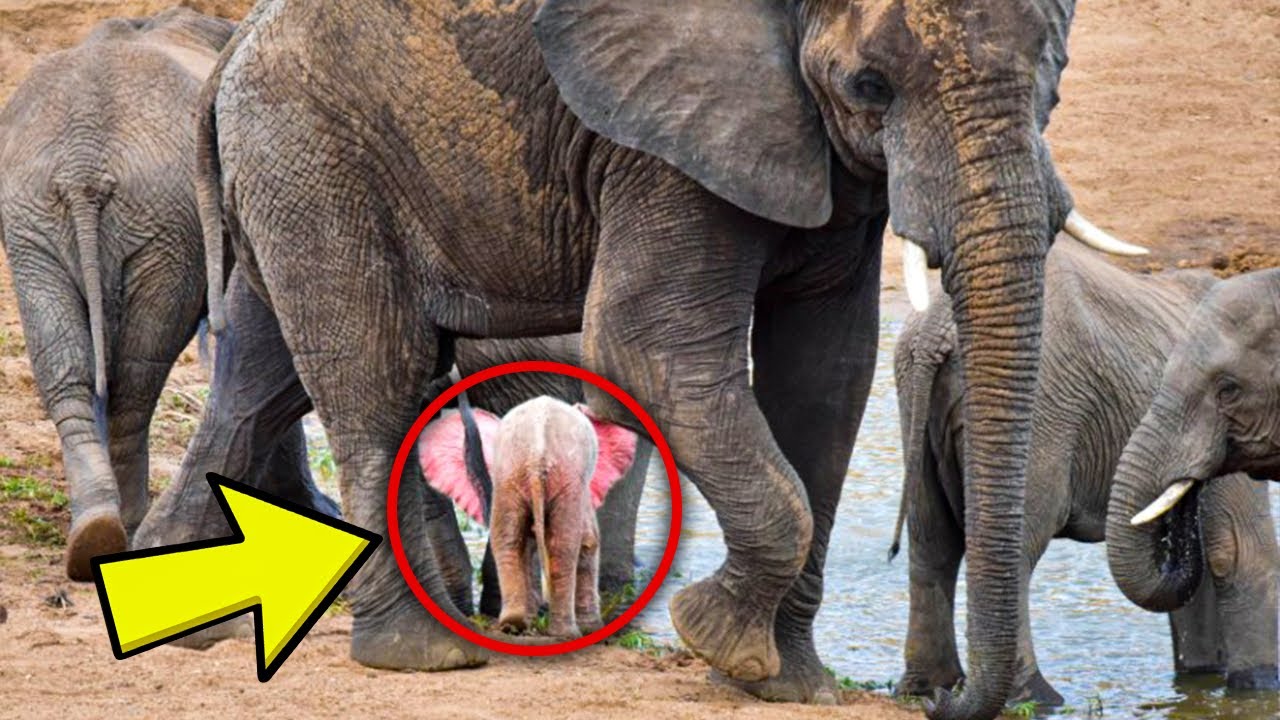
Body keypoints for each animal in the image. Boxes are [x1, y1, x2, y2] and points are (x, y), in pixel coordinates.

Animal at [0, 9, 235, 580]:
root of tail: (83, 166)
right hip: (158, 222)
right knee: (137, 374)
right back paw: (122, 527)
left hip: (41, 218)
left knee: (70, 366)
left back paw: (95, 533)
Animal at [420, 394, 638, 637]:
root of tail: (536, 453)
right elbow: (588, 541)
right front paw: (591, 628)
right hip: (559, 476)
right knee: (562, 544)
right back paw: (565, 633)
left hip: (511, 475)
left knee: (509, 539)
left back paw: (513, 623)